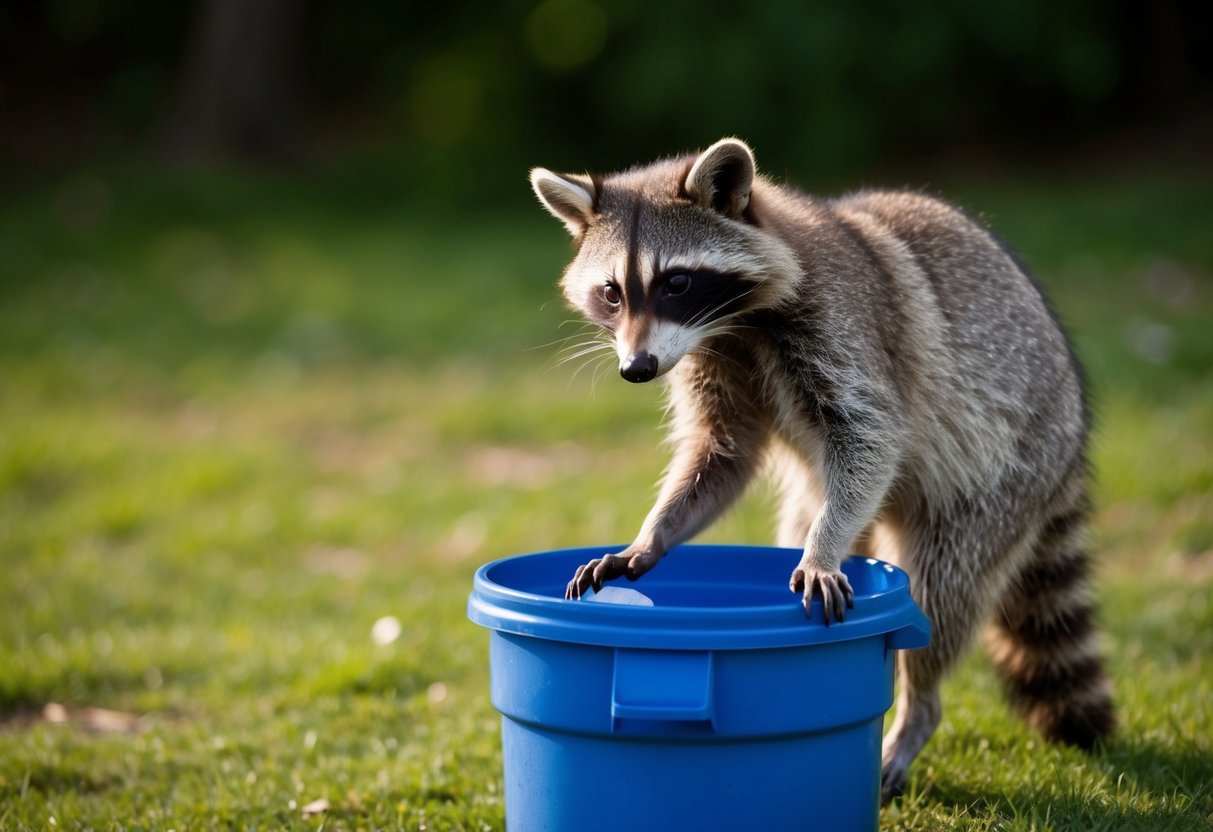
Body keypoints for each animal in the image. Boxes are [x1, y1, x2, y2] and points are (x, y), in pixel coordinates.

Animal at [529, 138, 1114, 800]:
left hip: (1006, 471)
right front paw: (651, 537)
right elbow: (722, 452)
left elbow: (872, 437)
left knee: (943, 590)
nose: (636, 369)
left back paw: (916, 706)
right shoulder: (714, 356)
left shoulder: (841, 325)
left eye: (676, 281)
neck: (735, 321)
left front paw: (822, 552)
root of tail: (1073, 427)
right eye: (612, 292)